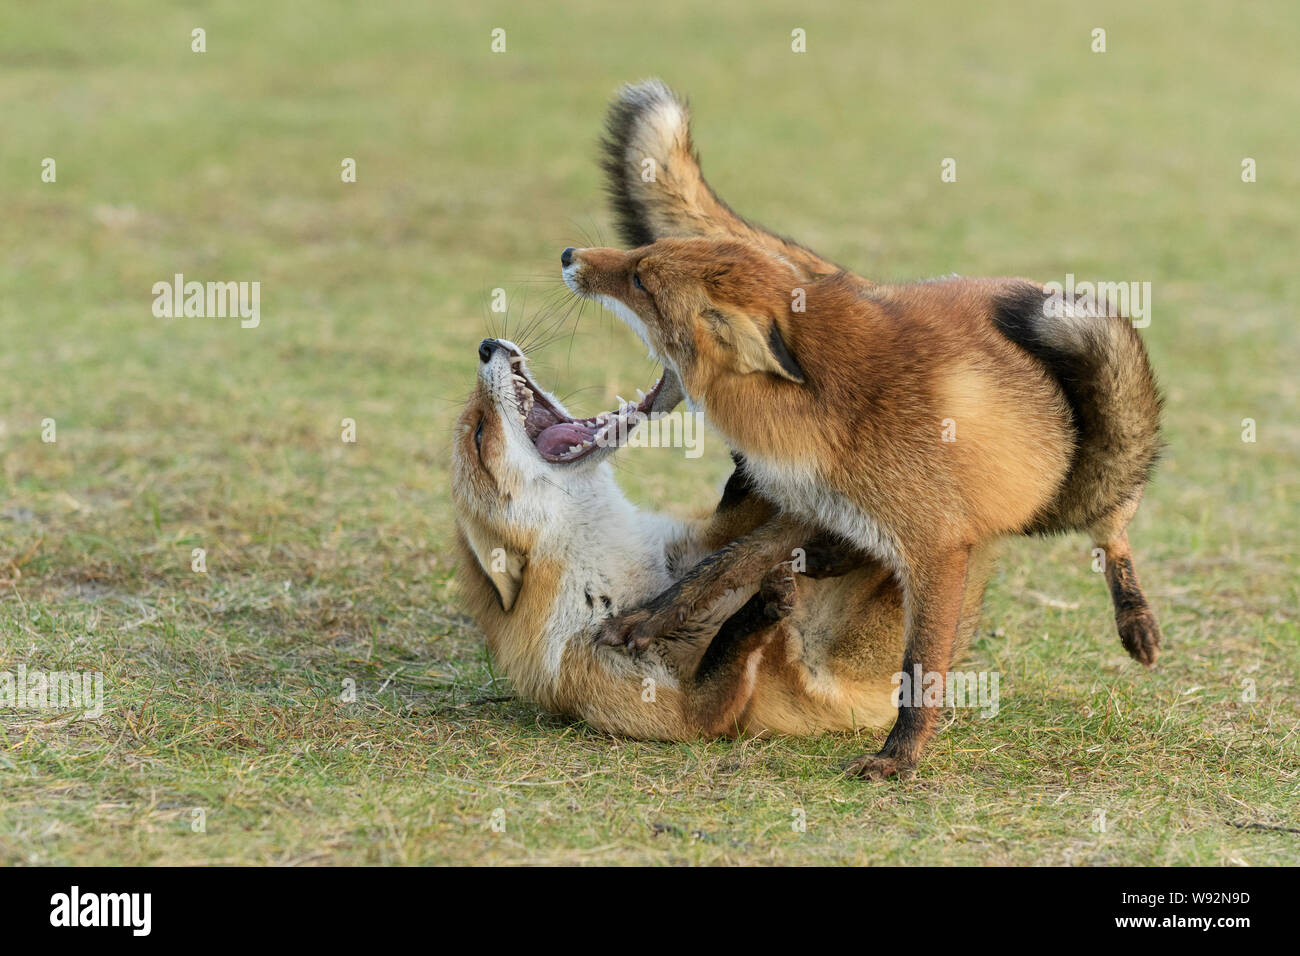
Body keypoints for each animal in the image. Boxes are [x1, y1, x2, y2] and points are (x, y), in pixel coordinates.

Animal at [451, 336, 997, 739]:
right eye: (479, 436)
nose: (486, 345)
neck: (603, 568)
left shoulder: (690, 545)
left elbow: (734, 530)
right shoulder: (656, 701)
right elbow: (723, 663)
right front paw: (759, 610)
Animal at [561, 79, 1164, 778]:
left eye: (639, 278)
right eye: (640, 256)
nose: (569, 254)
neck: (831, 420)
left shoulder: (937, 548)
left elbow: (920, 668)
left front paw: (900, 756)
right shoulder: (810, 504)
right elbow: (713, 571)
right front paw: (641, 623)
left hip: (1106, 422)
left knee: (1112, 523)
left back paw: (1136, 619)